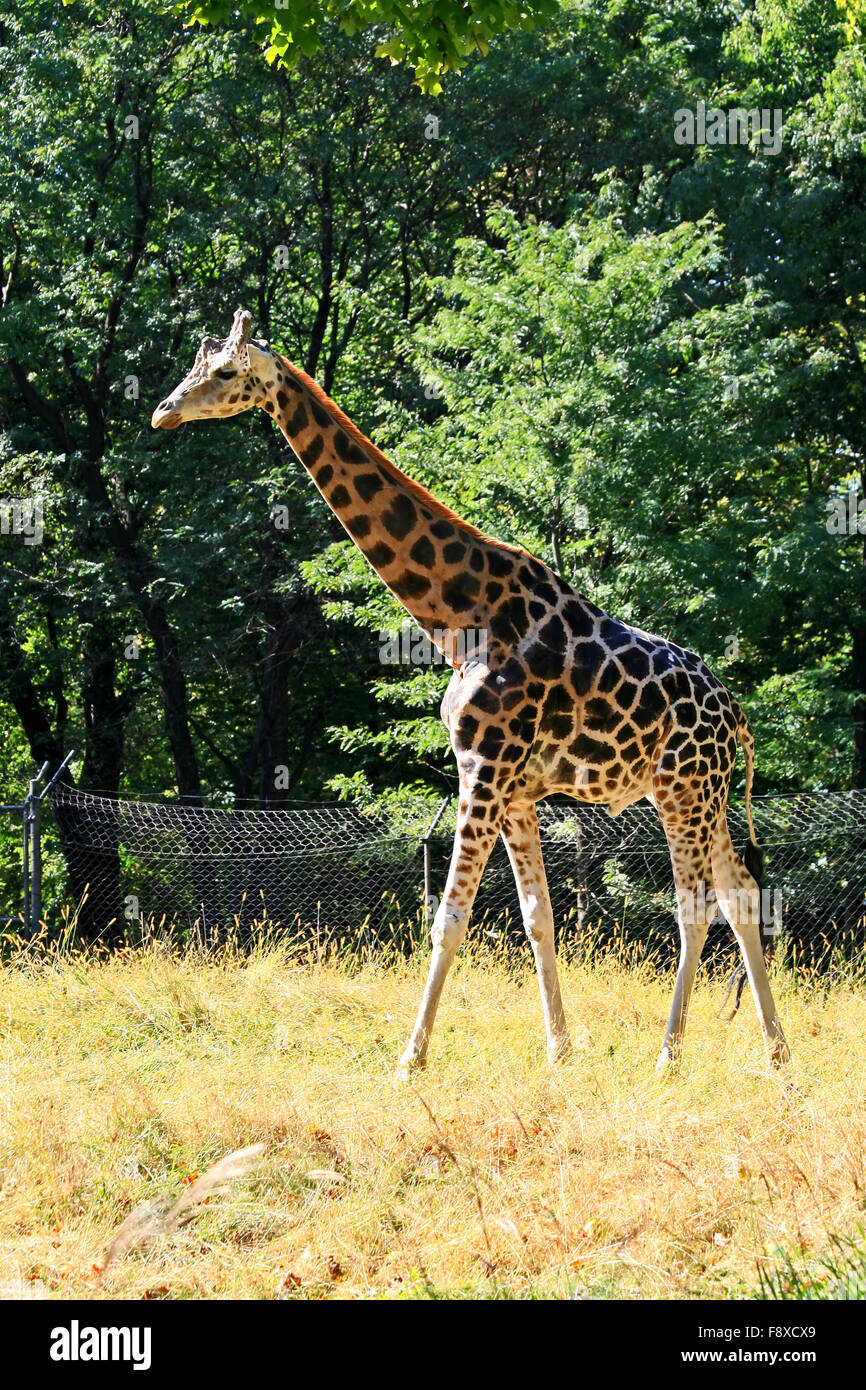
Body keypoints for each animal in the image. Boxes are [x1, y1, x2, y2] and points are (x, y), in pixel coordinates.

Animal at [152, 309, 790, 1076]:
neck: (458, 617)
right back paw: (778, 1055)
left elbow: (449, 918)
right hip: (705, 792)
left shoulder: (483, 767)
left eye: (223, 372)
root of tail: (738, 716)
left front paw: (409, 1061)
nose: (162, 411)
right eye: (192, 365)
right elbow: (537, 918)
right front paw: (559, 1053)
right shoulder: (513, 787)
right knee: (741, 893)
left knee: (695, 905)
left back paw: (667, 1059)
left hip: (681, 788)